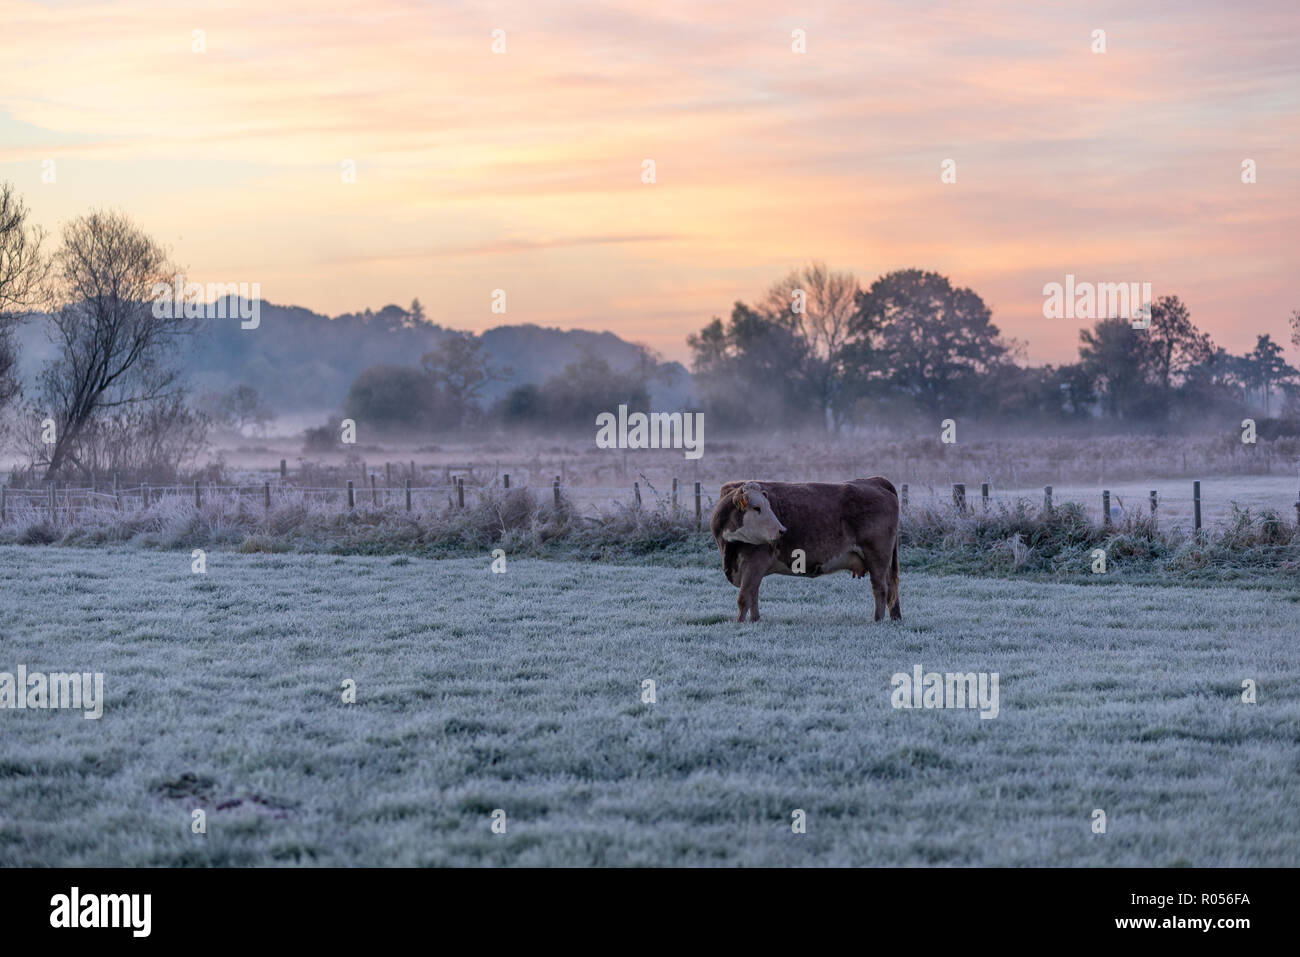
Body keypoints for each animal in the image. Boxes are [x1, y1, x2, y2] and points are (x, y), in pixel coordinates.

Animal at [708, 478, 901, 623]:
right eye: (757, 508)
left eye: (769, 506)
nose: (782, 530)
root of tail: (874, 480)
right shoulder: (752, 569)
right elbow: (753, 595)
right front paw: (754, 620)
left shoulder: (754, 563)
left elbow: (744, 597)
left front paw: (738, 623)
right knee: (891, 588)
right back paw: (894, 618)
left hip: (877, 557)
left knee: (880, 588)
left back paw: (877, 620)